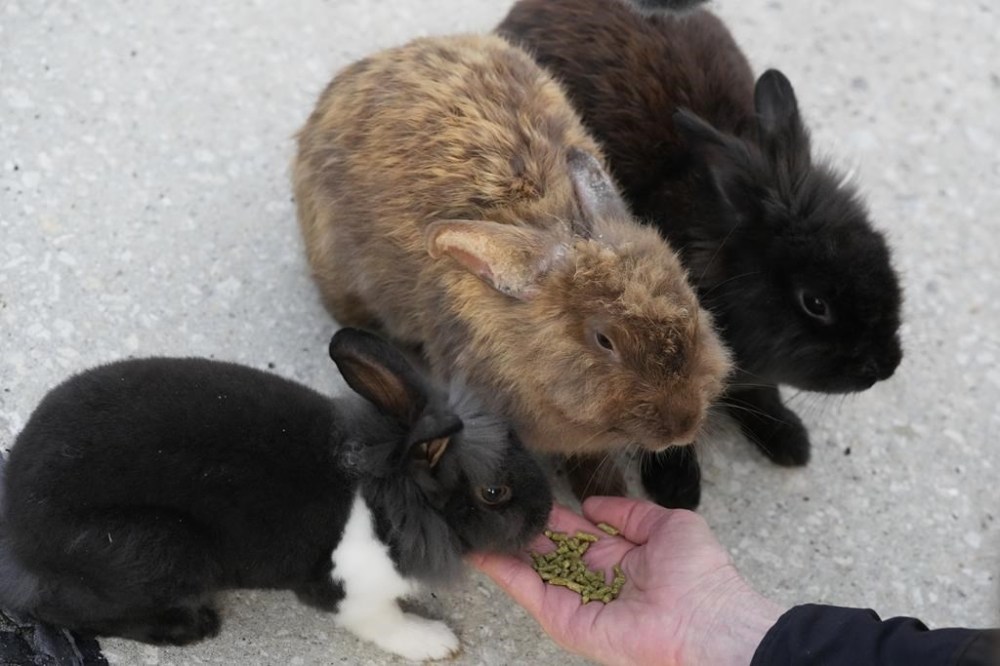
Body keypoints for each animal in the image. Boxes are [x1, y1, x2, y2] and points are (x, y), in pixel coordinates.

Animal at [0, 327, 552, 661]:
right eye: (495, 492)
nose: (546, 514)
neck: (388, 490)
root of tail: (17, 530)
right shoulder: (351, 591)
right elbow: (384, 621)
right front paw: (436, 642)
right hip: (156, 552)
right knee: (65, 611)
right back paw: (194, 627)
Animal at [498, 0, 903, 509]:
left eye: (882, 249)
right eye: (815, 303)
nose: (886, 367)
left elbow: (760, 392)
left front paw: (789, 441)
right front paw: (678, 490)